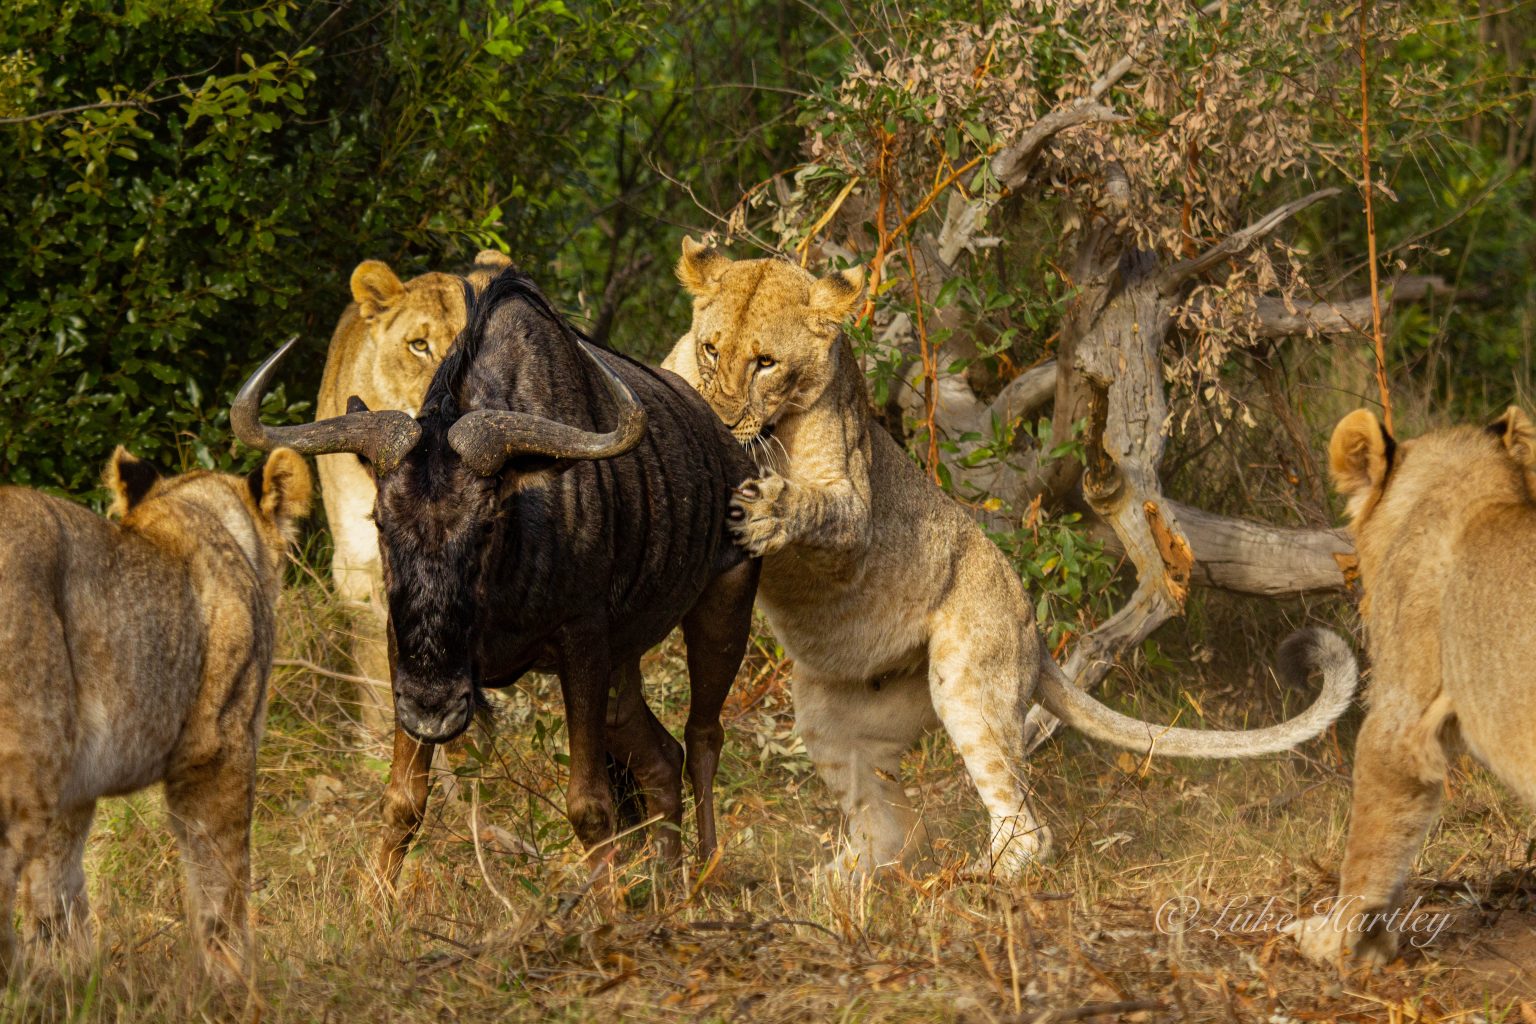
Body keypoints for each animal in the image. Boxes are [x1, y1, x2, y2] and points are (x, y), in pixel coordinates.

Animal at [0, 446, 310, 983]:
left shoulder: (76, 786)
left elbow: (57, 885)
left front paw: (73, 978)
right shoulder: (217, 747)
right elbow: (222, 874)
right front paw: (231, 977)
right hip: (30, 755)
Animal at [662, 239, 1358, 878]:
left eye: (766, 363)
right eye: (711, 349)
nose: (720, 422)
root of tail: (1038, 633)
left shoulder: (854, 511)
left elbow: (819, 510)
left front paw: (770, 509)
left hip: (970, 683)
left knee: (1025, 824)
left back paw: (978, 882)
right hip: (828, 714)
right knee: (890, 827)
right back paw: (846, 886)